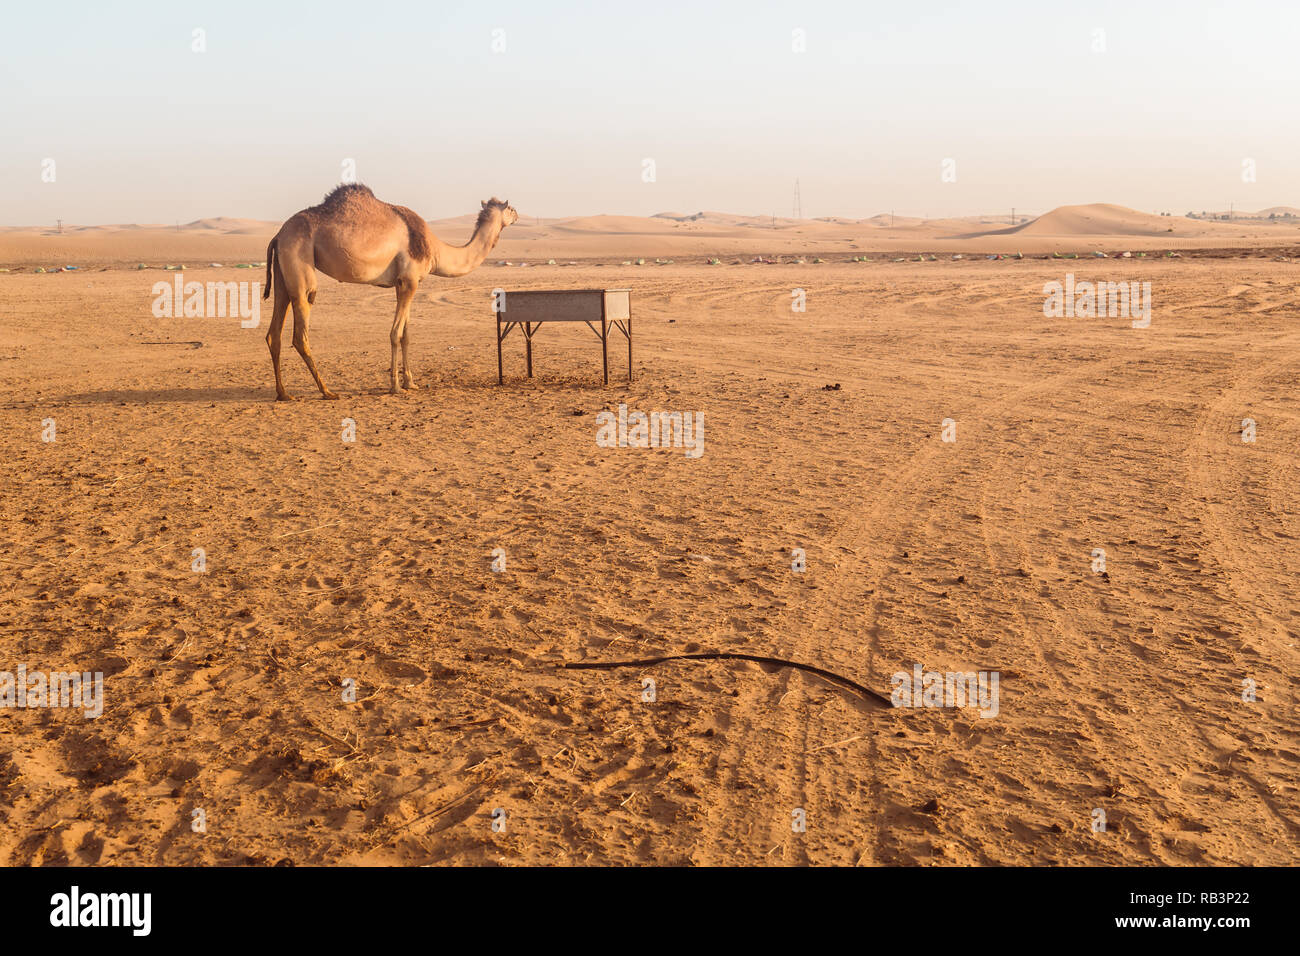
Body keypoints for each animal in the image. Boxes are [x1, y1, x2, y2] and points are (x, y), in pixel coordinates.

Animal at [262, 184, 517, 400]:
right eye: (510, 207)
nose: (517, 214)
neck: (434, 249)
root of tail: (278, 235)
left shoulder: (401, 283)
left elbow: (406, 335)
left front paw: (410, 382)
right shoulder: (410, 281)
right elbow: (395, 334)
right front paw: (395, 386)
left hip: (283, 274)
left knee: (274, 331)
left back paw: (283, 393)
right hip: (300, 261)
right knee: (301, 329)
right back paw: (326, 391)